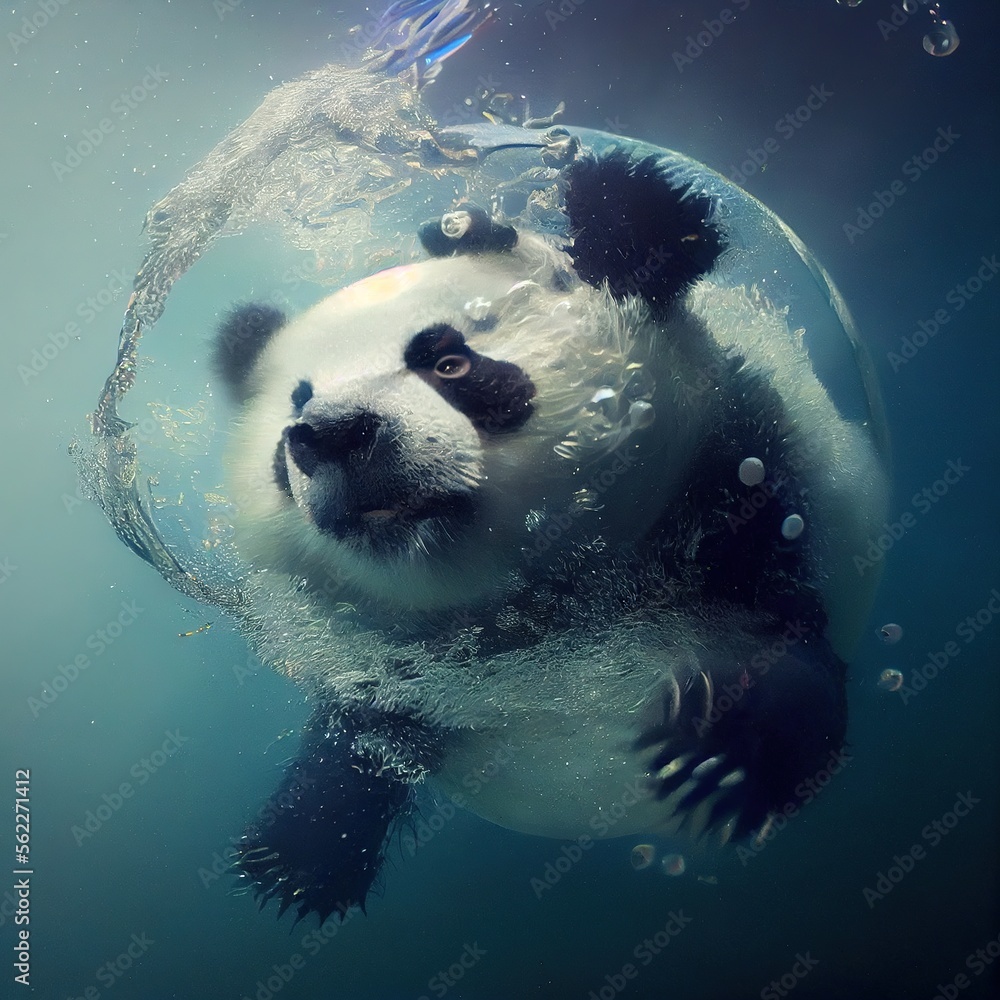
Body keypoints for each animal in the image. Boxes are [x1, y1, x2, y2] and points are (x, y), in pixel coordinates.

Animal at [210, 146, 887, 925]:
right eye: (298, 401)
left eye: (450, 362)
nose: (331, 433)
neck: (541, 606)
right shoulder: (406, 652)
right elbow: (369, 722)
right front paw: (301, 851)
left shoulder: (736, 484)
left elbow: (786, 626)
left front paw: (722, 756)